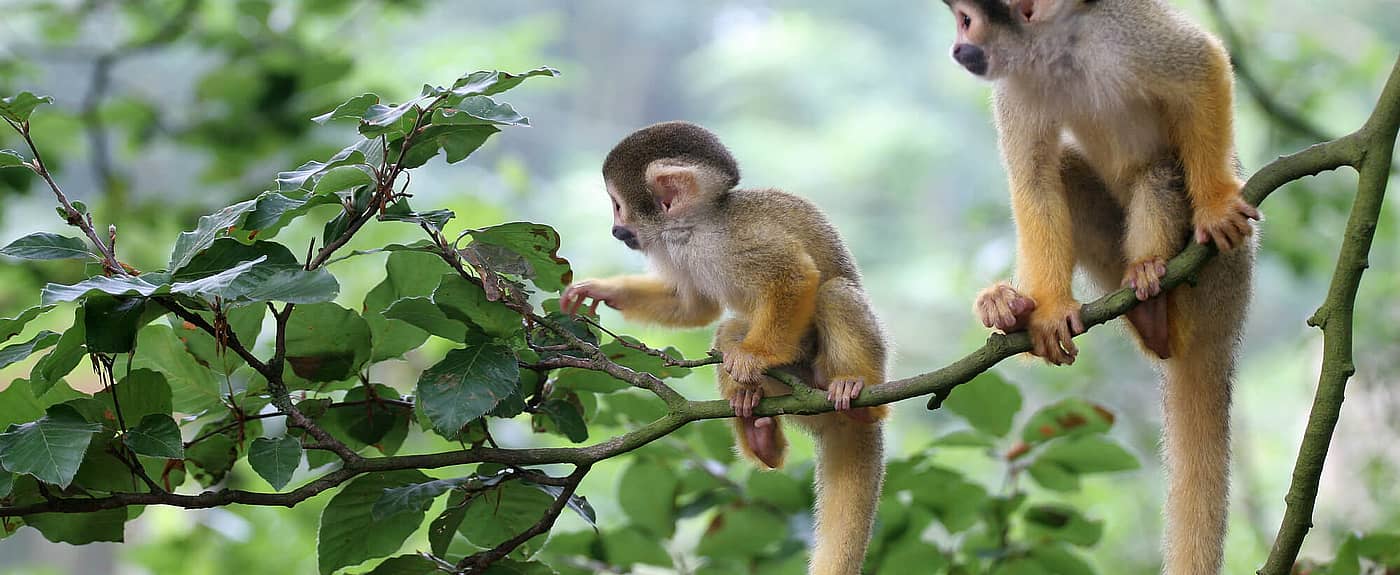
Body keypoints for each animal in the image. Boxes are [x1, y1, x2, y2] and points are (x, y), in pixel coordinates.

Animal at [561, 121, 887, 575]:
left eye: (617, 206)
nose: (615, 230)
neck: (694, 231)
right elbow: (694, 306)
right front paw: (603, 289)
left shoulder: (738, 239)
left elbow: (795, 276)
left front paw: (754, 357)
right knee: (729, 327)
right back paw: (756, 426)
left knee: (834, 293)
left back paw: (853, 389)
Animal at [942, 1, 1259, 574]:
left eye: (966, 20)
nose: (957, 48)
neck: (1056, 52)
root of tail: (1227, 333)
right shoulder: (1016, 84)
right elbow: (1036, 182)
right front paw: (1042, 314)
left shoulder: (1121, 29)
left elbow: (1201, 65)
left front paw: (1218, 204)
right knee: (1067, 169)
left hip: (1222, 281)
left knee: (1162, 171)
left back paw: (1156, 279)